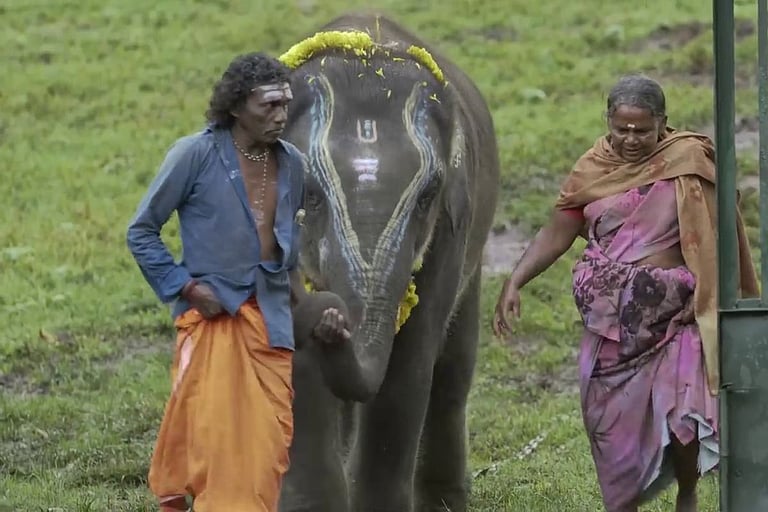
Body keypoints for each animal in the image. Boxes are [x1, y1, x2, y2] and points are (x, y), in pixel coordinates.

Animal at [279, 12, 501, 512]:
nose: (333, 320)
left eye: (427, 197)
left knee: (453, 373)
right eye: (311, 194)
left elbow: (409, 370)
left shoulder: (450, 233)